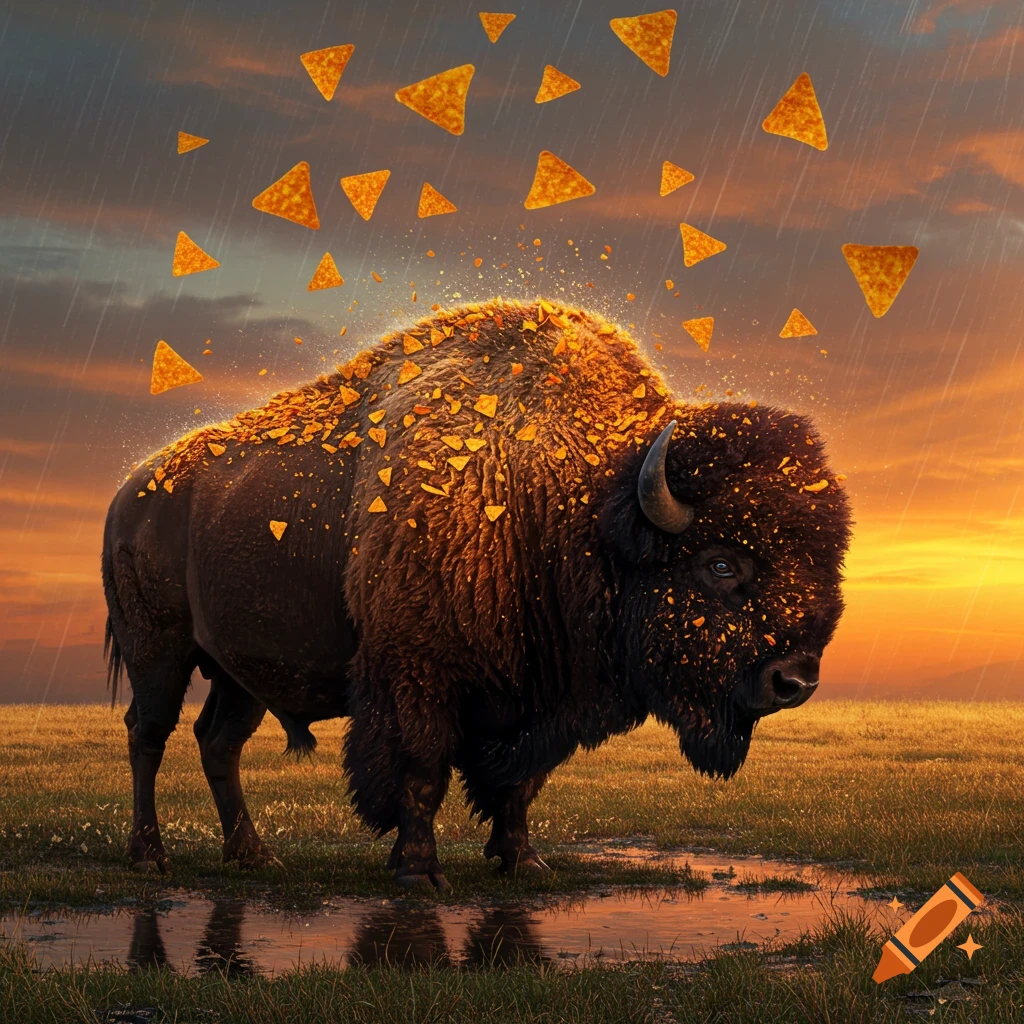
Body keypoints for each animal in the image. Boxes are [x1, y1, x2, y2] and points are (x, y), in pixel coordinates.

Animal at [102, 299, 851, 889]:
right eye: (720, 564)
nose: (794, 681)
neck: (569, 499)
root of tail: (131, 491)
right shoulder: (417, 674)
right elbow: (422, 769)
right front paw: (419, 870)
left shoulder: (537, 696)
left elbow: (519, 783)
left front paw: (523, 861)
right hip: (158, 650)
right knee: (149, 733)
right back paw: (149, 857)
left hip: (239, 673)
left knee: (217, 742)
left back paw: (254, 857)